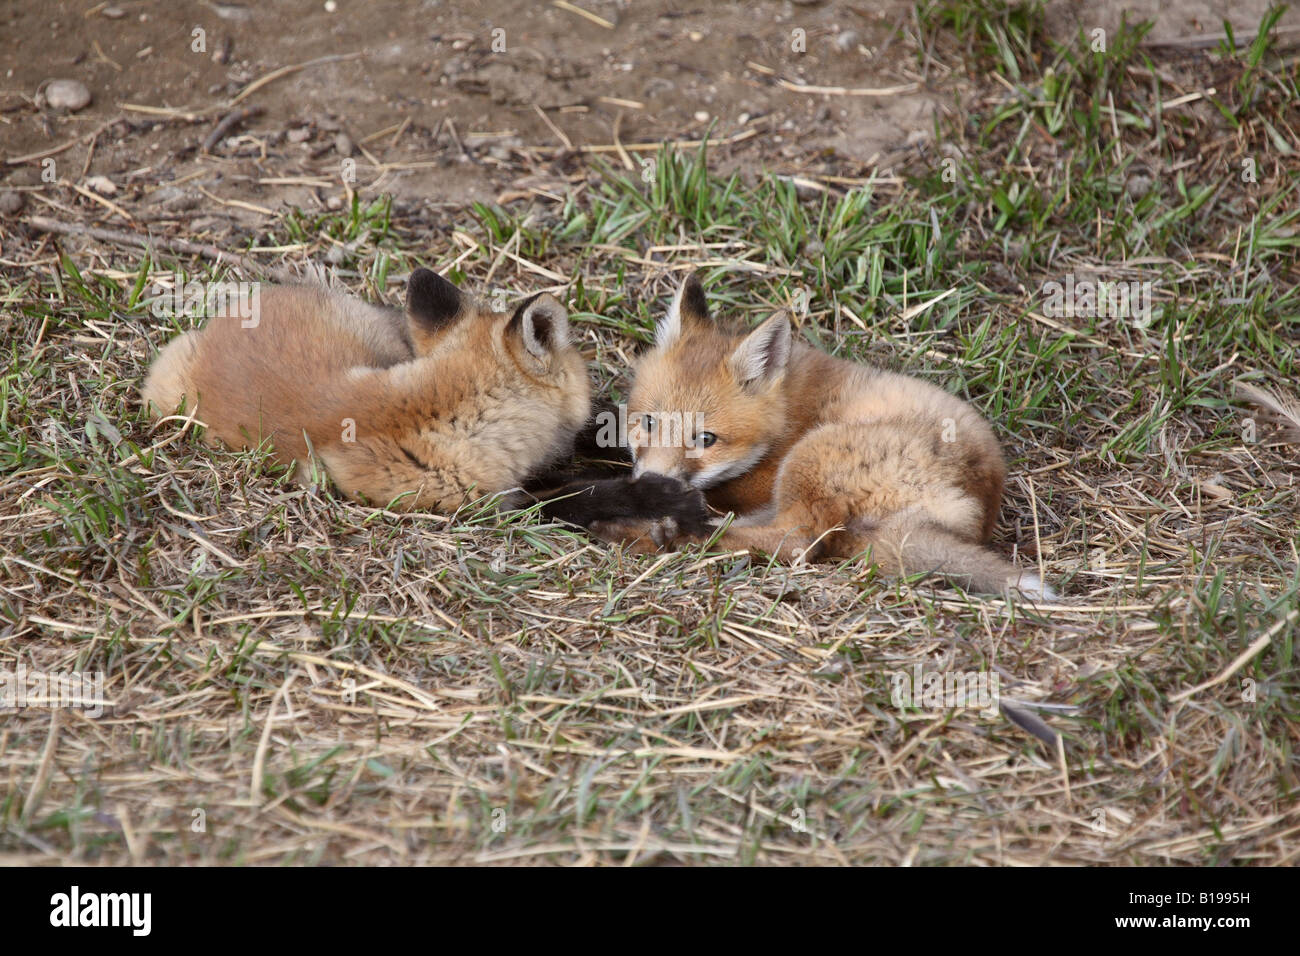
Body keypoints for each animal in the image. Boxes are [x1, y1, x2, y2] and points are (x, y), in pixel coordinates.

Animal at [596, 274, 1058, 600]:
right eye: (649, 422)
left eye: (705, 439)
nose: (652, 482)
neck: (787, 416)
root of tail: (977, 501)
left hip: (809, 460)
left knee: (795, 543)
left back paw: (666, 535)